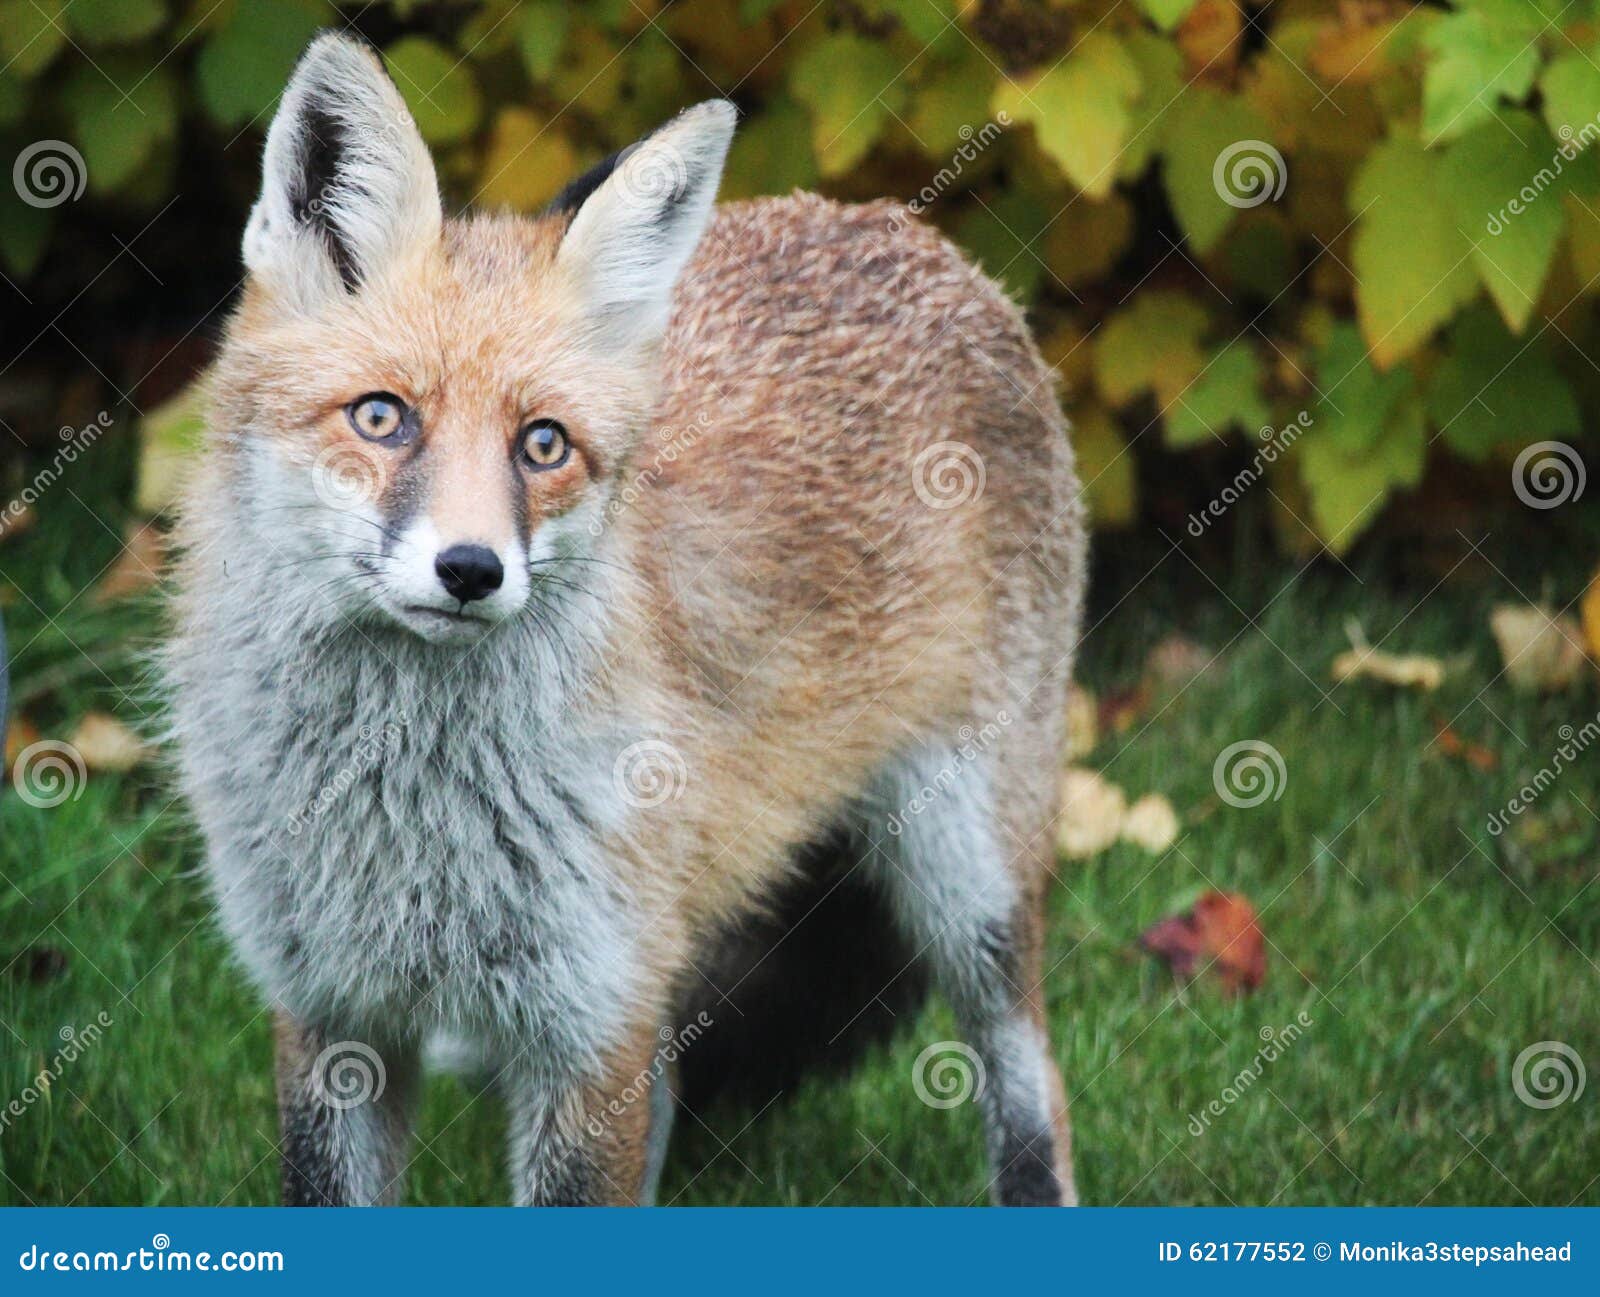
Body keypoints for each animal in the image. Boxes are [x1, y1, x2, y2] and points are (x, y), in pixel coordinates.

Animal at [164, 32, 1087, 1207]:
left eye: (543, 444)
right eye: (382, 417)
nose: (471, 570)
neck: (414, 818)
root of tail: (902, 228)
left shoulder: (585, 1020)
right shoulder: (332, 1010)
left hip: (967, 879)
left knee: (1034, 1090)